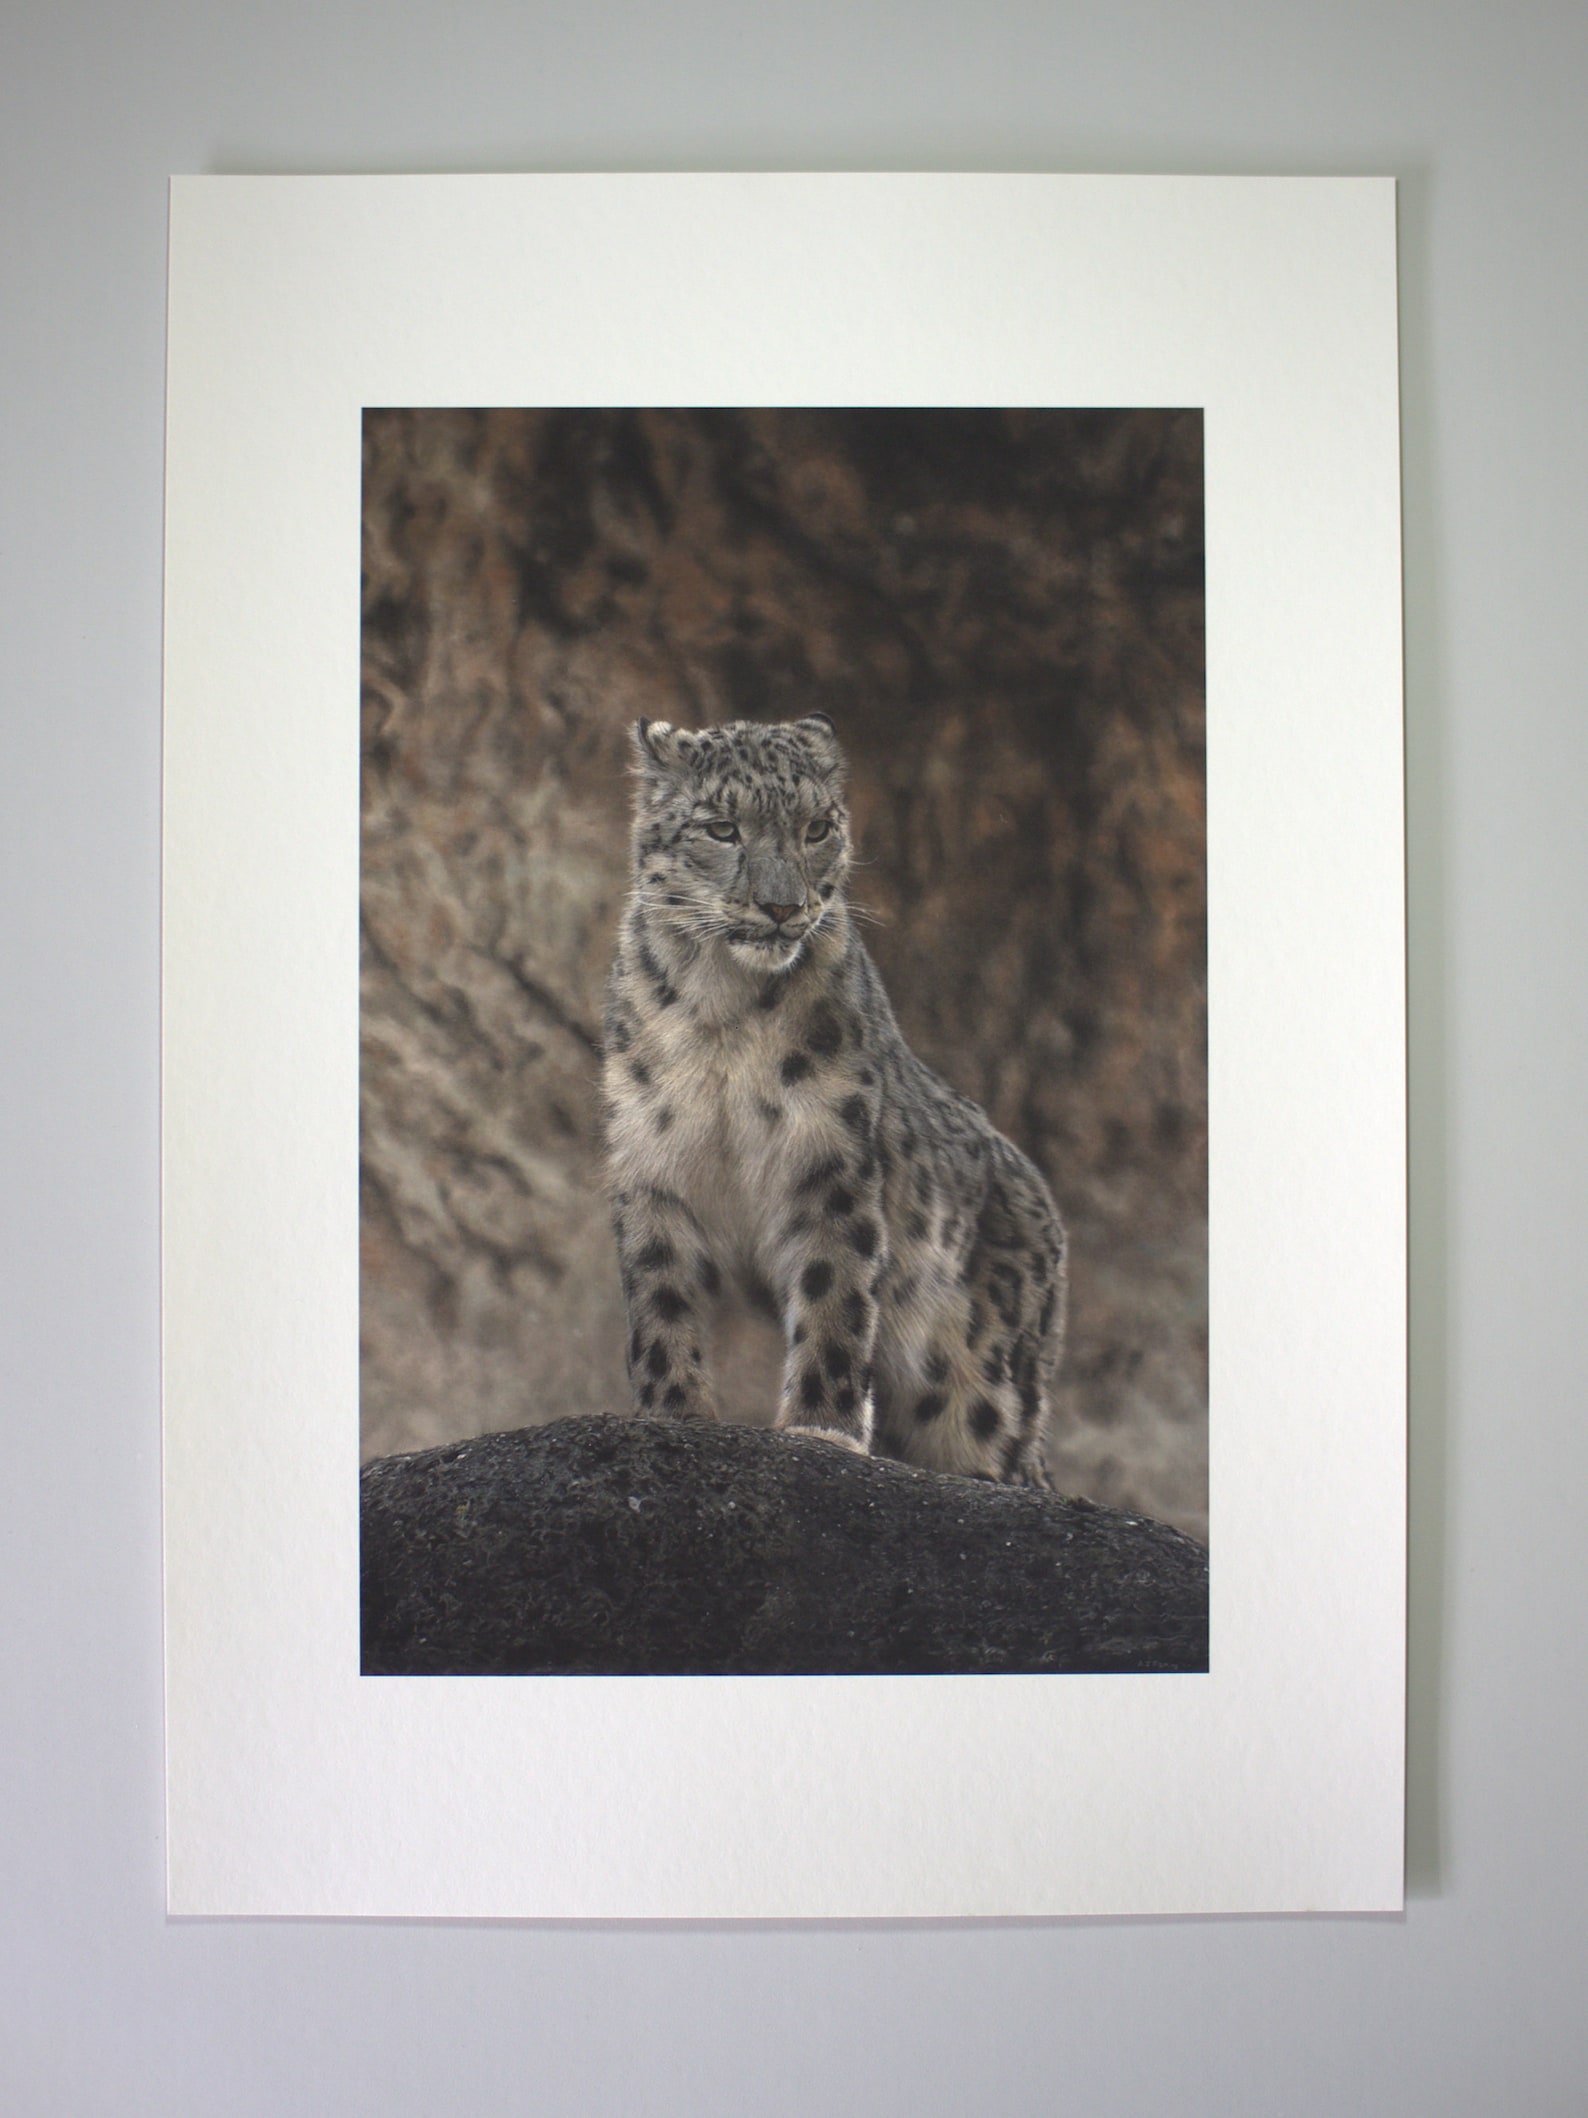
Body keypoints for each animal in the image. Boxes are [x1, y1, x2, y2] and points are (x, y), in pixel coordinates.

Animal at [602, 712, 1066, 1486]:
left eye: (816, 827)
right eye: (721, 827)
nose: (782, 906)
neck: (722, 1014)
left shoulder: (831, 1157)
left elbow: (834, 1292)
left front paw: (822, 1431)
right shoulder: (653, 1162)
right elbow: (663, 1298)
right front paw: (675, 1416)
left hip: (982, 1386)